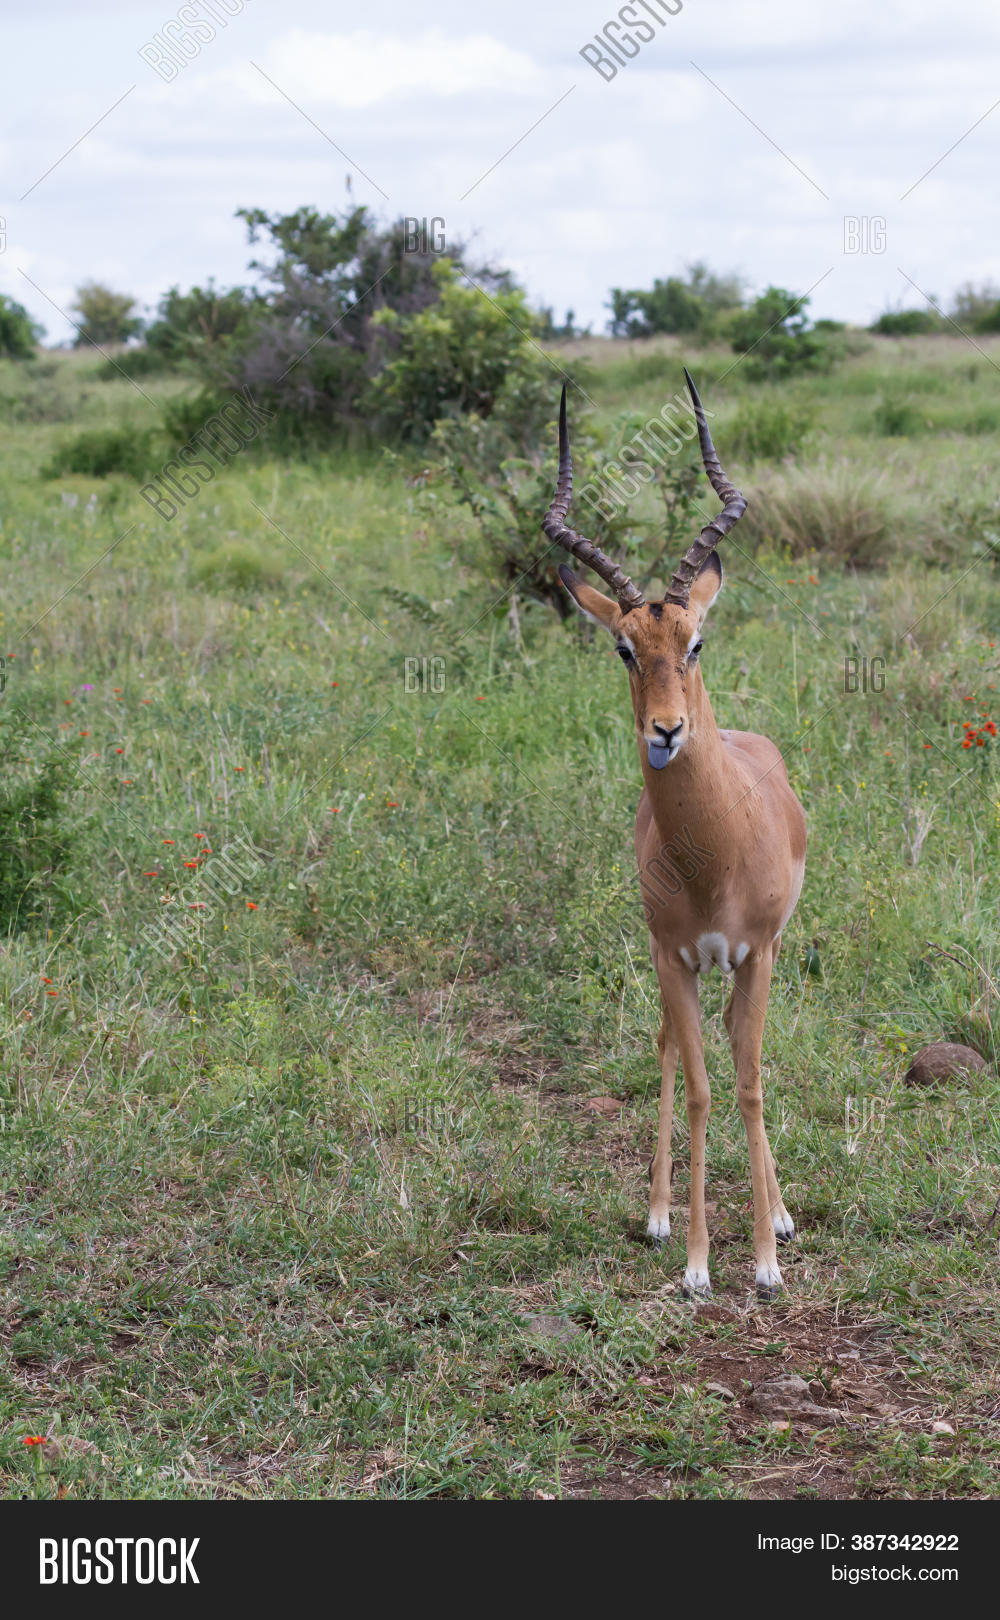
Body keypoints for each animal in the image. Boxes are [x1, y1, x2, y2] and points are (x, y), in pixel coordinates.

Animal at [542, 372, 806, 1299]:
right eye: (625, 647)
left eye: (696, 640)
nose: (666, 731)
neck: (715, 857)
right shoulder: (675, 956)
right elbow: (697, 1088)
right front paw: (695, 1261)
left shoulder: (756, 953)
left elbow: (750, 1084)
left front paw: (764, 1259)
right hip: (672, 965)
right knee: (669, 1050)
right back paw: (658, 1216)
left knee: (739, 1057)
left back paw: (781, 1216)